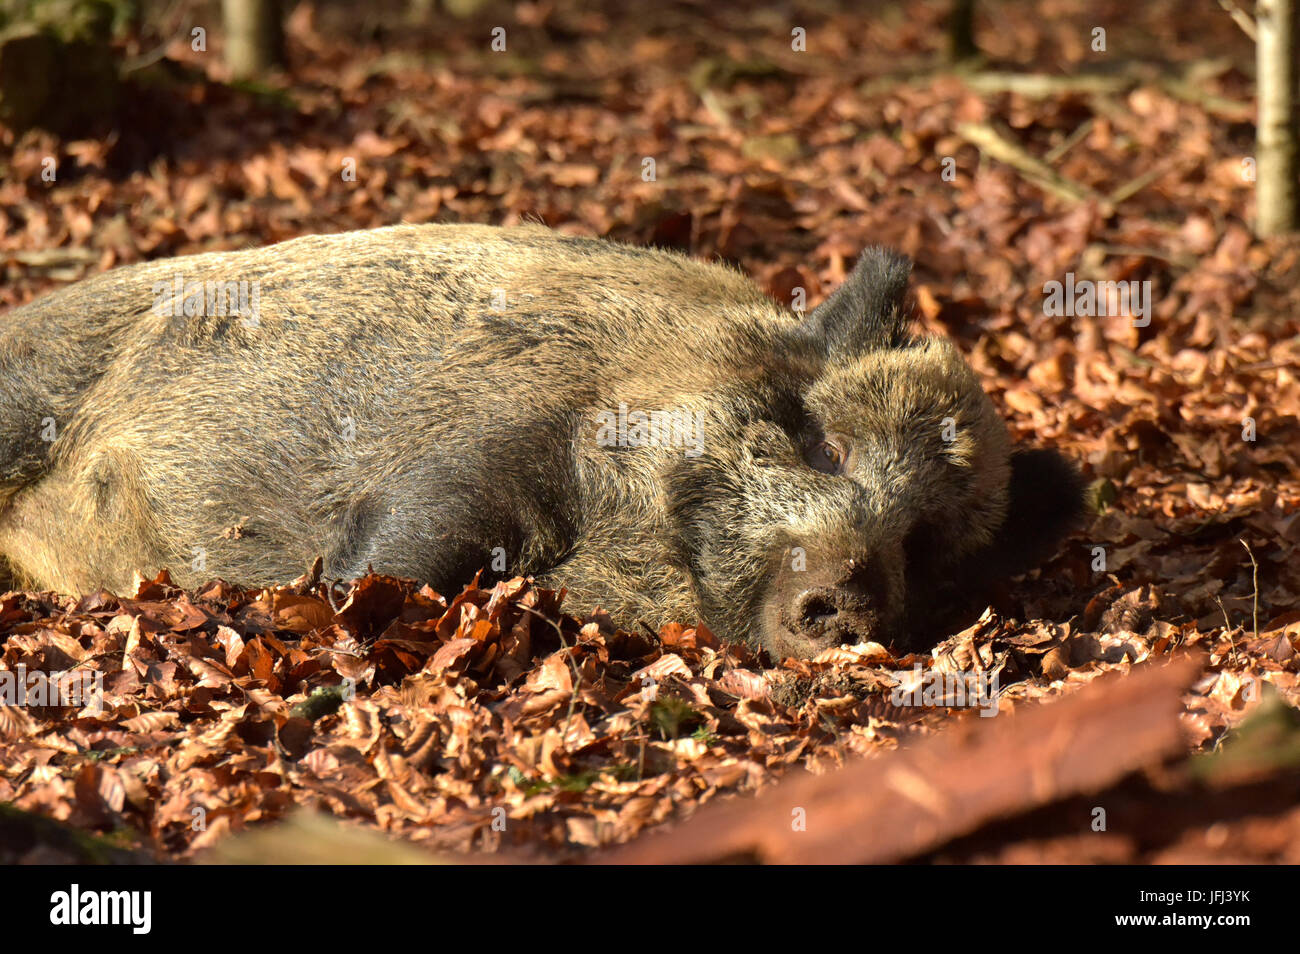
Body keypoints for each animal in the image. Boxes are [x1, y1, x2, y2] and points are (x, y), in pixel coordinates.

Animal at [0, 223, 1084, 657]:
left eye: (922, 542)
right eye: (820, 445)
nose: (843, 596)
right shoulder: (486, 439)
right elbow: (390, 557)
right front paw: (309, 615)